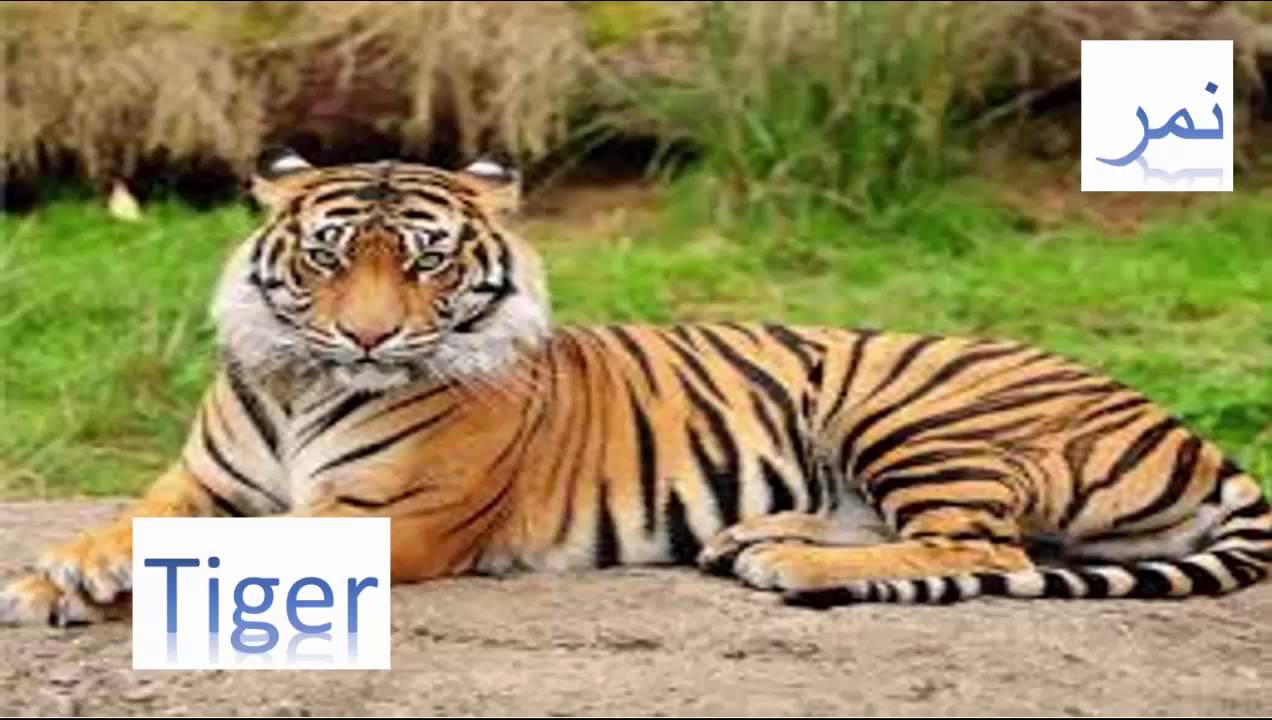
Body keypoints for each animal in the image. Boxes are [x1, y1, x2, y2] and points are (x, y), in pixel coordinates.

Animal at [2, 148, 1269, 627]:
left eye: (424, 261)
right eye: (327, 258)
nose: (366, 338)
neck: (305, 382)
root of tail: (1184, 426)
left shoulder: (382, 518)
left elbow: (233, 550)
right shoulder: (200, 483)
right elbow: (130, 522)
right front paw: (54, 574)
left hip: (907, 401)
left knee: (983, 547)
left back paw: (790, 566)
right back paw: (756, 538)